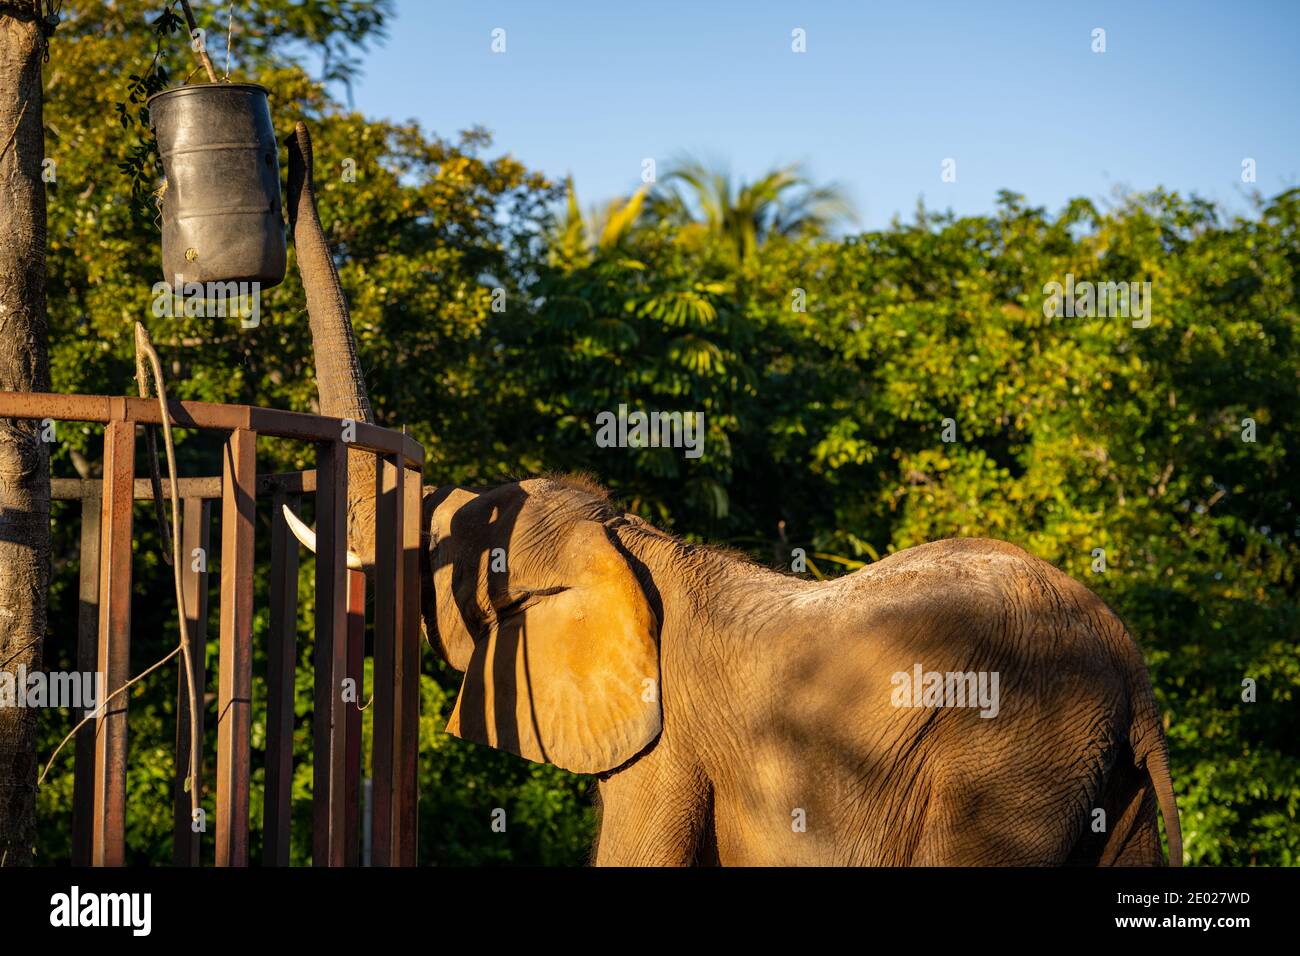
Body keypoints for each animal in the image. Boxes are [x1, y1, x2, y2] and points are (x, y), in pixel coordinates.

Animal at [285, 122, 1182, 866]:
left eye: (449, 551)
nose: (296, 138)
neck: (629, 544)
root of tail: (1132, 676)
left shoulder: (666, 747)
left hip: (1009, 758)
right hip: (1094, 778)